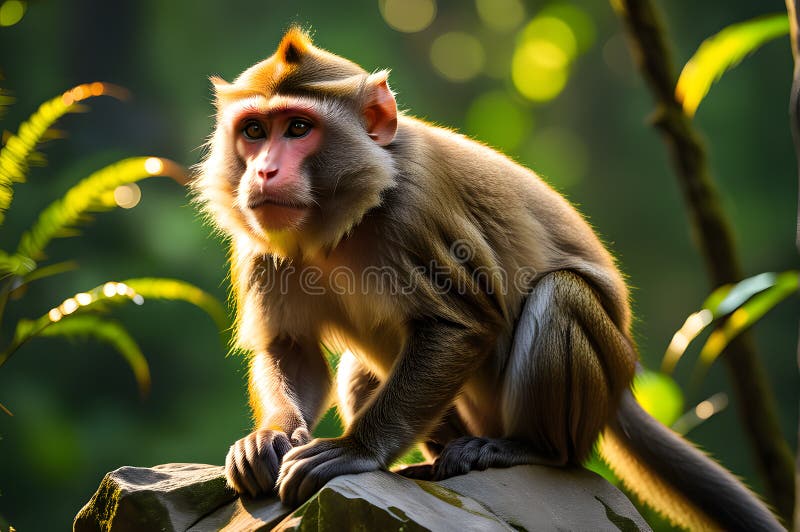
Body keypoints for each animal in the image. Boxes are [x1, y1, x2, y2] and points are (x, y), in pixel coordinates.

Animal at [193, 27, 783, 531]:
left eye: (298, 127)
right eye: (253, 131)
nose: (264, 171)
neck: (347, 218)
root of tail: (622, 388)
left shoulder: (416, 214)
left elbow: (460, 326)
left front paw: (354, 451)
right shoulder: (261, 244)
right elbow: (291, 347)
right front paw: (268, 438)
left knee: (560, 300)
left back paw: (528, 448)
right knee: (359, 371)